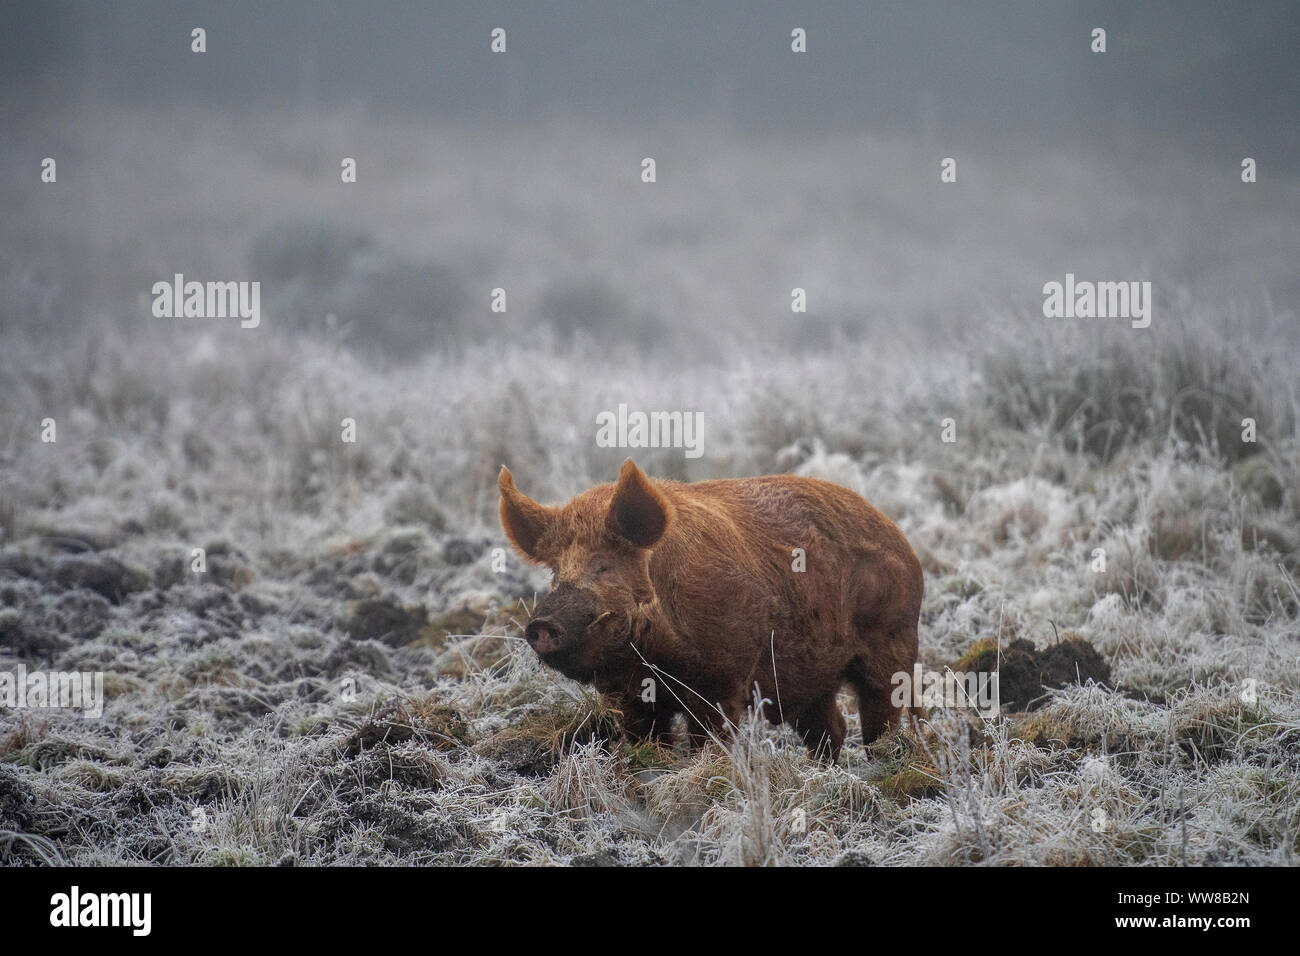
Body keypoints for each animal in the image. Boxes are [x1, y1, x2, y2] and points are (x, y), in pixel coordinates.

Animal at [498, 458, 923, 760]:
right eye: (555, 571)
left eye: (604, 566)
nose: (541, 625)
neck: (656, 658)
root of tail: (901, 540)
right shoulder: (629, 698)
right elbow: (646, 742)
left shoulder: (722, 679)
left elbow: (709, 739)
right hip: (809, 677)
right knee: (830, 728)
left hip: (893, 640)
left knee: (880, 713)